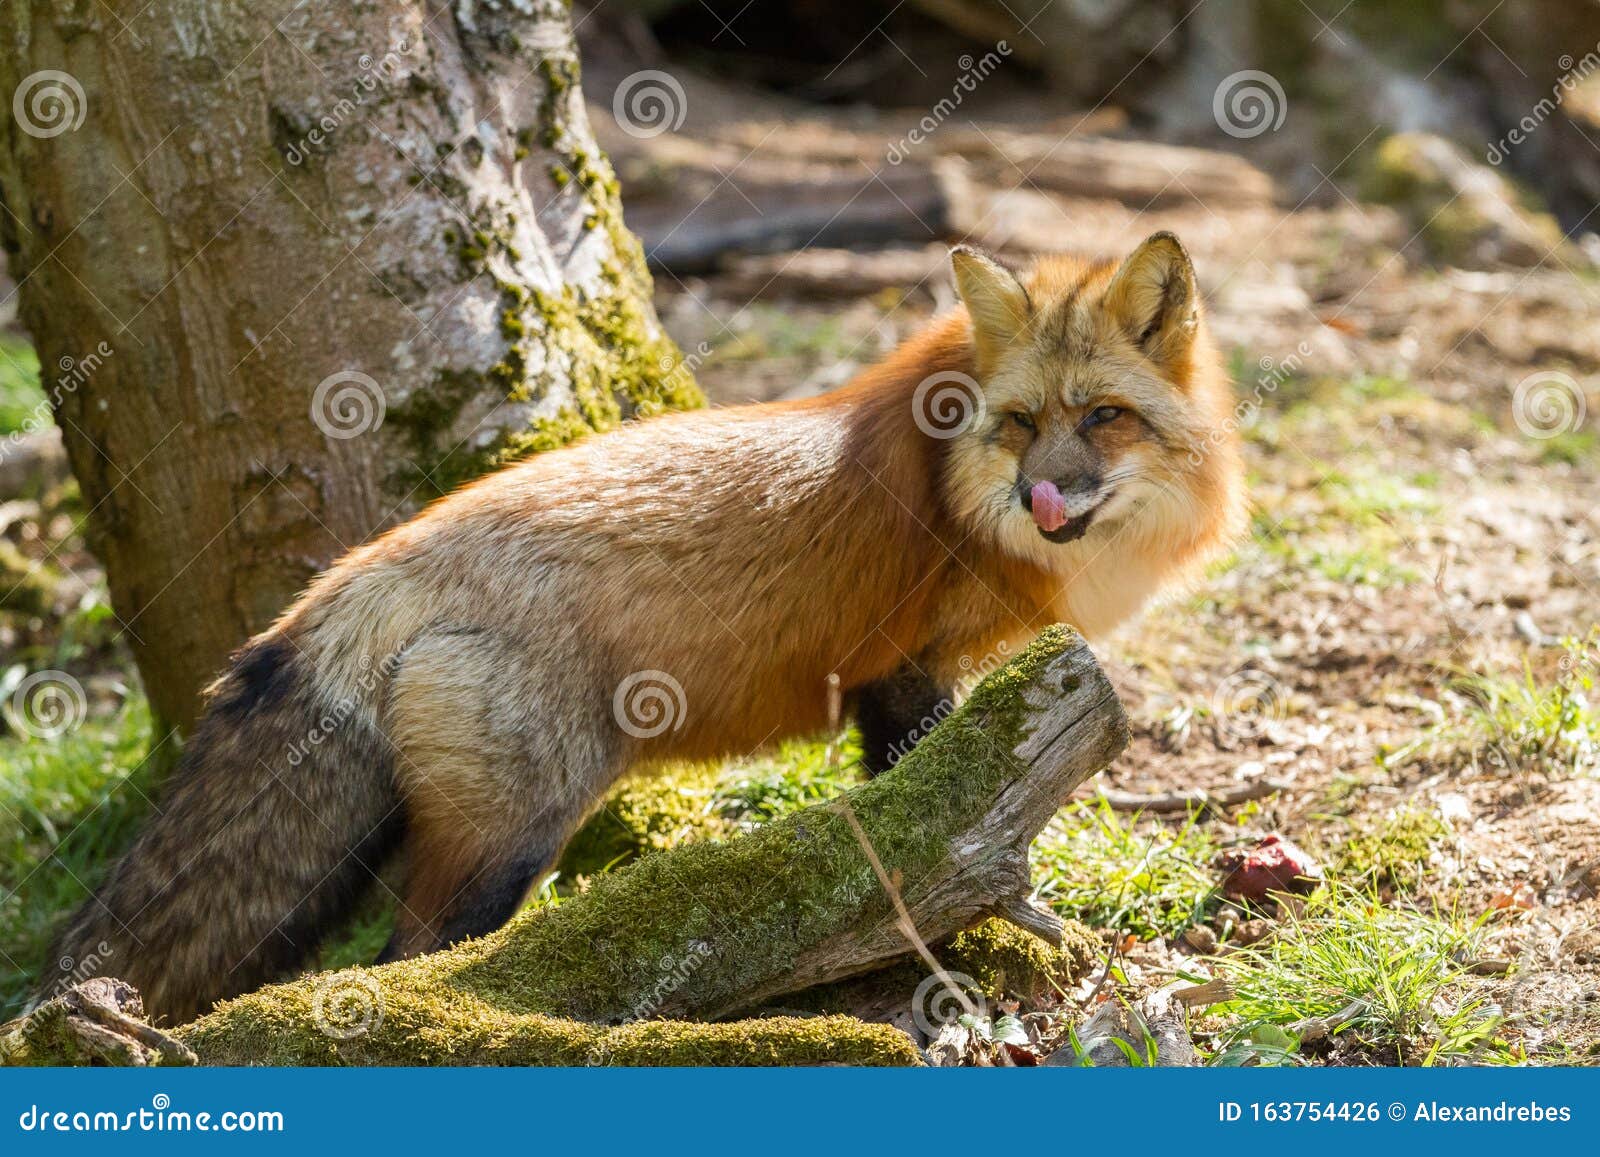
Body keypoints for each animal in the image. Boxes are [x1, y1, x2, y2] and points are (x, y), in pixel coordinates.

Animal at [45, 232, 1244, 1024]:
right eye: (1023, 424)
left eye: (1103, 418)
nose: (1045, 499)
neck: (958, 480)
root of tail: (368, 572)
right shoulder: (905, 670)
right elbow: (938, 811)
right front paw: (961, 930)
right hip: (507, 842)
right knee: (404, 958)